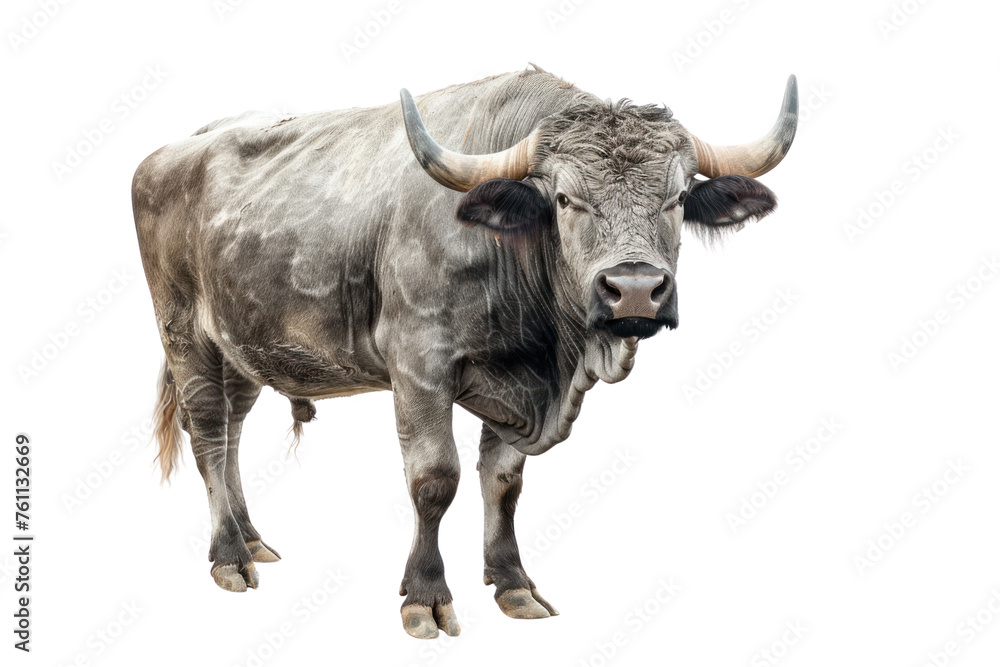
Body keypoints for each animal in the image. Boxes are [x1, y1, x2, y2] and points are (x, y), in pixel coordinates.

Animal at [132, 65, 797, 639]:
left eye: (679, 197)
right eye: (563, 199)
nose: (634, 289)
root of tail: (176, 149)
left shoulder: (516, 391)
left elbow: (503, 482)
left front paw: (512, 584)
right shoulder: (419, 370)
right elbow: (436, 480)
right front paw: (426, 596)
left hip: (240, 348)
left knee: (233, 431)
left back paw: (252, 539)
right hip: (185, 333)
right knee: (207, 432)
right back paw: (228, 557)